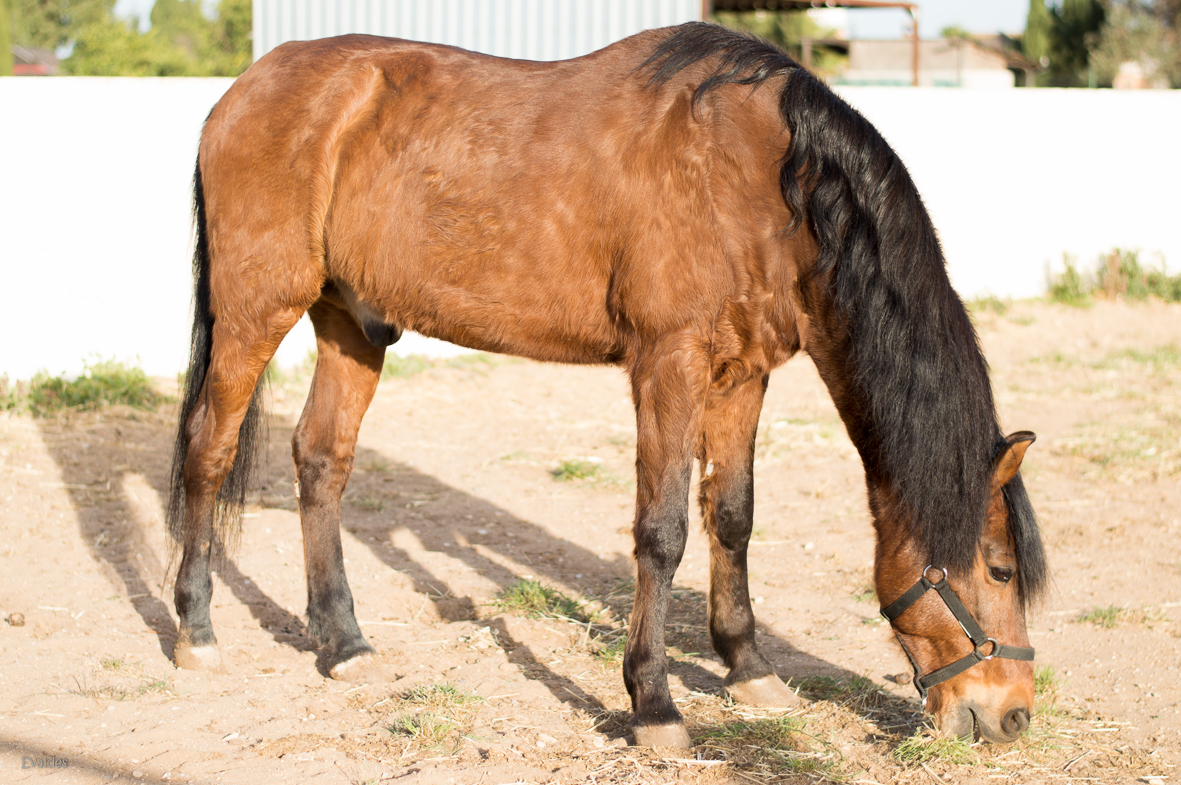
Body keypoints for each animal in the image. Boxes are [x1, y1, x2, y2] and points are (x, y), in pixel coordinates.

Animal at [167, 22, 1048, 748]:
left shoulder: (743, 375)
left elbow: (732, 517)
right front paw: (653, 705)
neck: (761, 179)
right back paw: (197, 630)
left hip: (348, 321)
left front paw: (749, 668)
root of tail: (241, 91)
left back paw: (342, 643)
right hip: (255, 309)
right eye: (1000, 570)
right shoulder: (667, 364)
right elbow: (661, 533)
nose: (1009, 715)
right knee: (209, 450)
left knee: (321, 460)